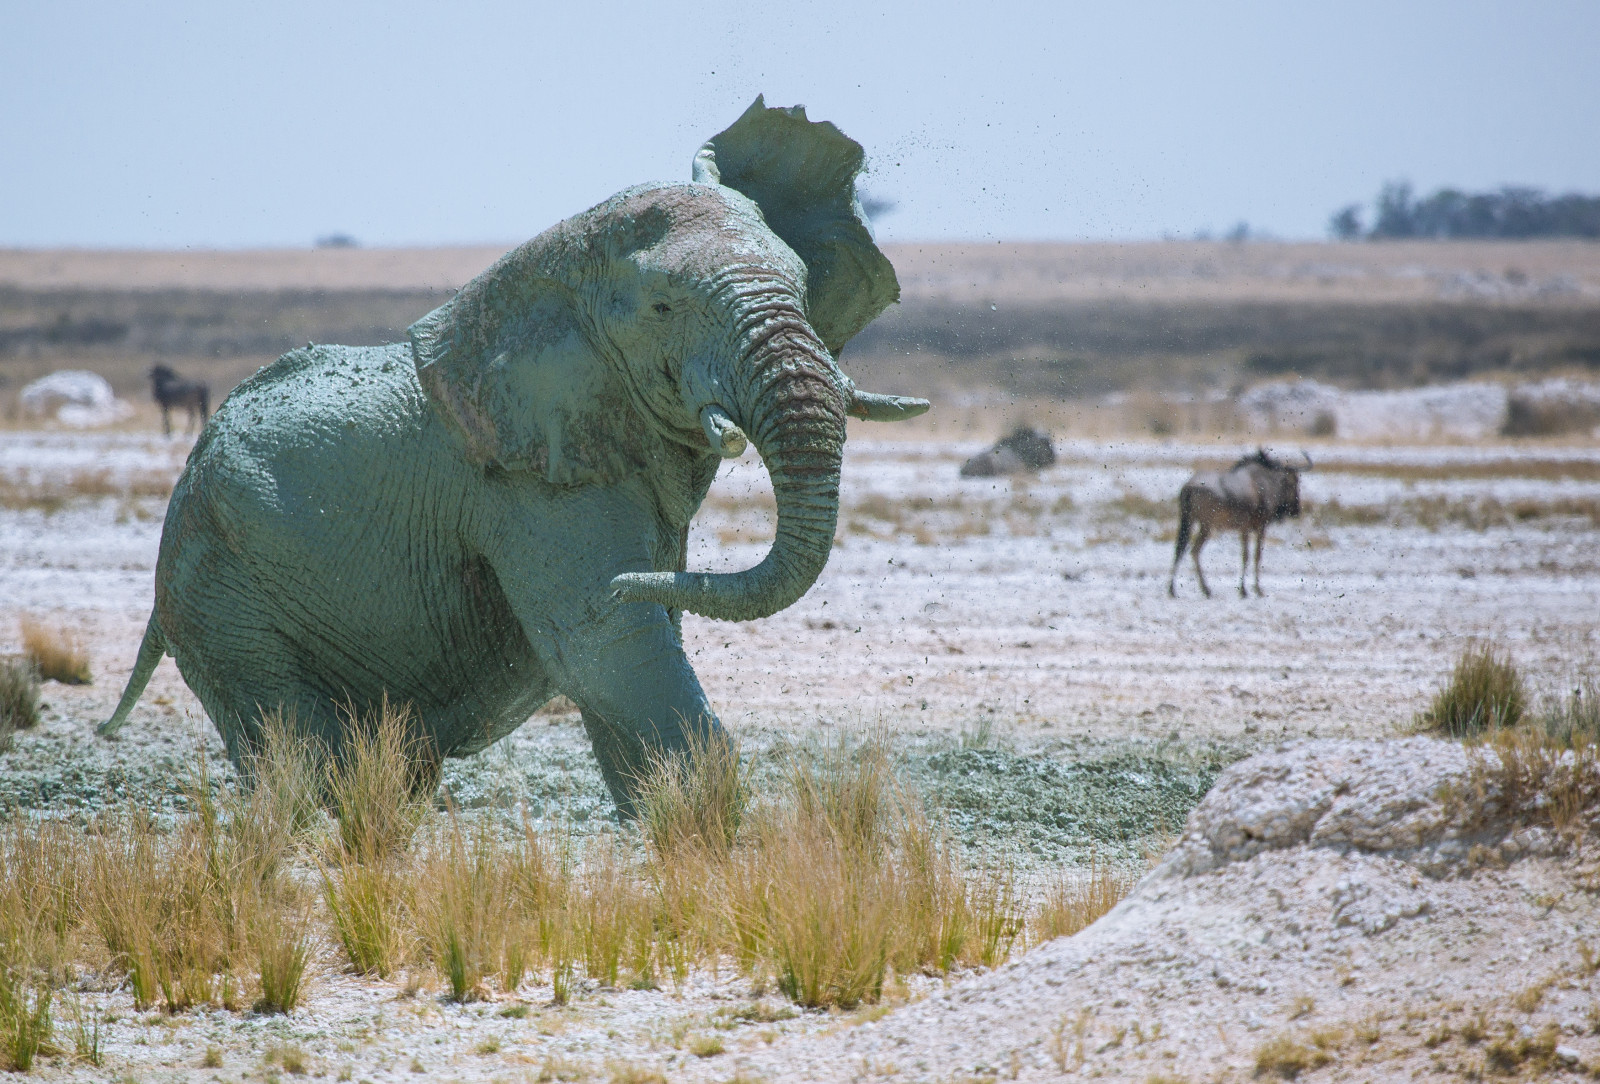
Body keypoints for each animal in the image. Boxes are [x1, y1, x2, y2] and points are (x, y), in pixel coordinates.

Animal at [99, 97, 928, 812]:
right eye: (665, 308)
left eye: (802, 286)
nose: (632, 582)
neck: (565, 252)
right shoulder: (529, 490)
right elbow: (605, 642)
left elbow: (627, 657)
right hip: (222, 592)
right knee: (306, 763)